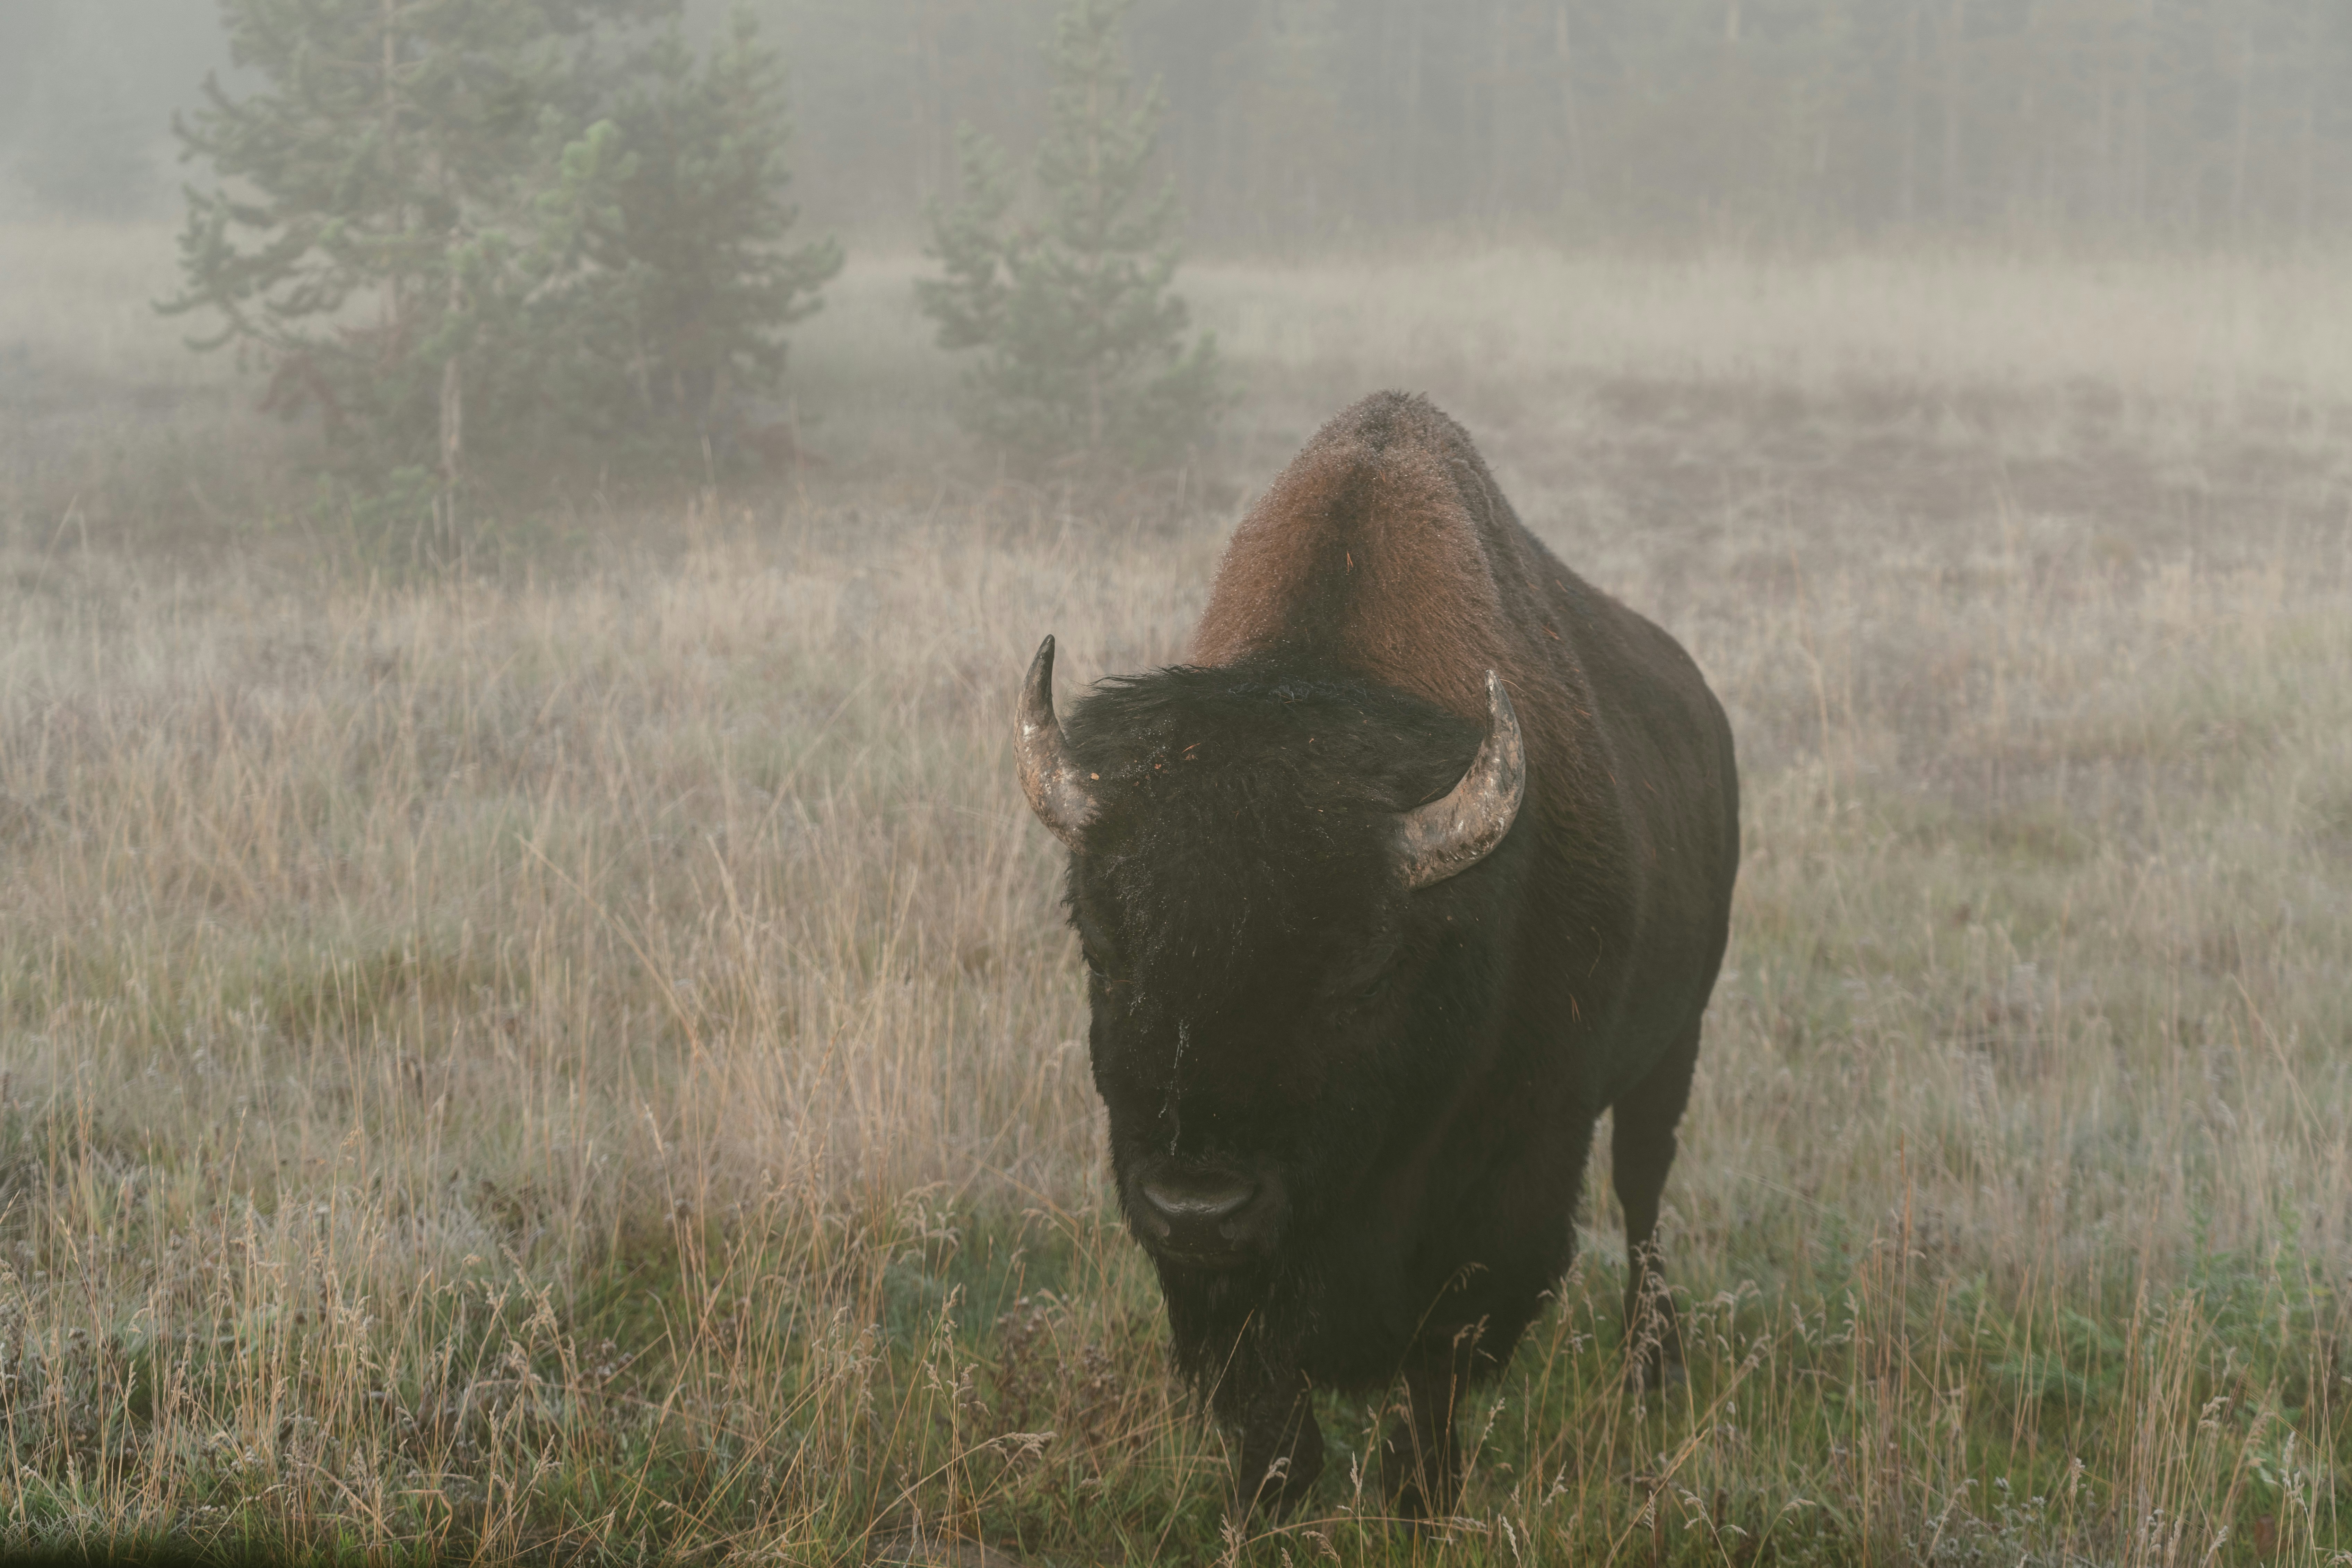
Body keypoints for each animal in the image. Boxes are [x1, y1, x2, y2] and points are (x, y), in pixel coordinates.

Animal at [1016, 392, 1739, 1520]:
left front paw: (1421, 1496)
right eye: (1102, 942)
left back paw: (1651, 1368)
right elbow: (1257, 1379)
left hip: (1674, 1044)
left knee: (1643, 1191)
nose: (1197, 1204)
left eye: (1361, 970)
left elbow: (1440, 1353)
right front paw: (1269, 1496)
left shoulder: (1512, 1177)